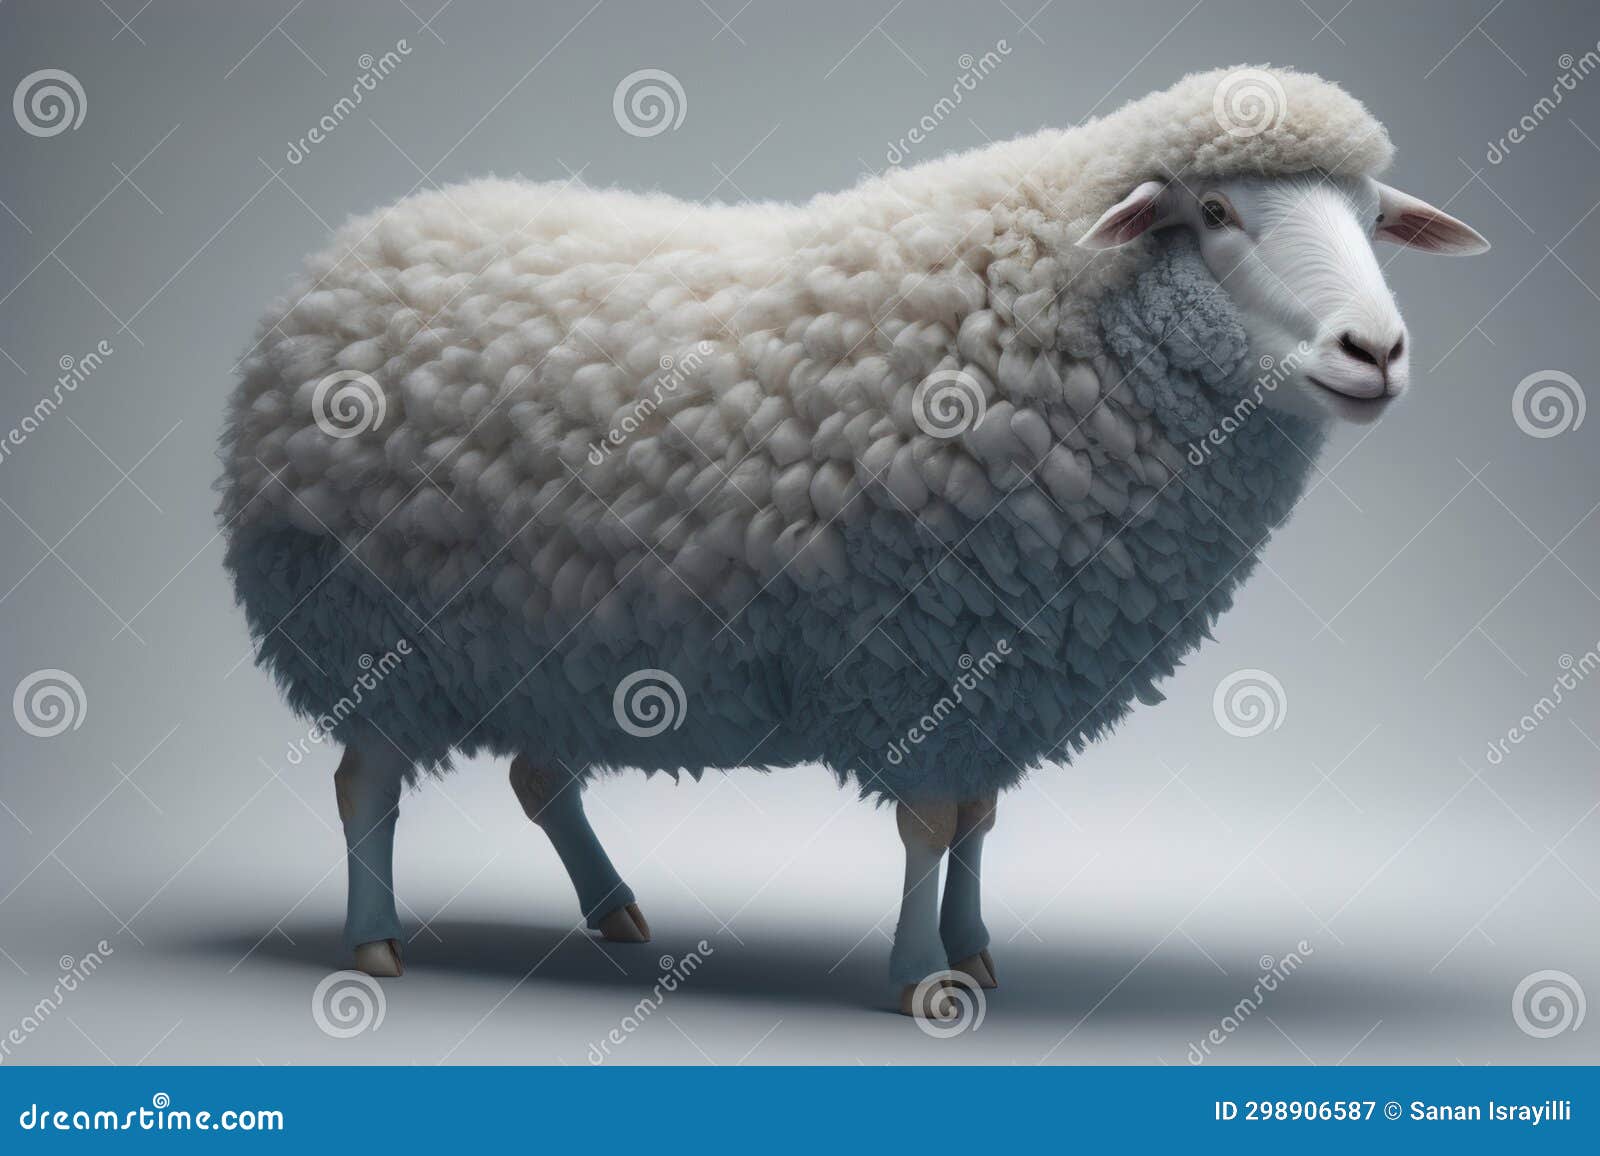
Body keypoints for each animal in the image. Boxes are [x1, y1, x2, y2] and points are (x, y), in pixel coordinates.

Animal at [217, 65, 1488, 1018]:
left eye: (1373, 219)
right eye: (1217, 214)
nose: (1376, 350)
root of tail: (343, 253)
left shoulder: (999, 667)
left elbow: (977, 821)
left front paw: (974, 947)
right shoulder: (922, 656)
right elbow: (930, 825)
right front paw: (921, 975)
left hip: (548, 639)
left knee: (540, 776)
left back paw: (614, 908)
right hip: (367, 628)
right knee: (366, 782)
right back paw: (375, 940)